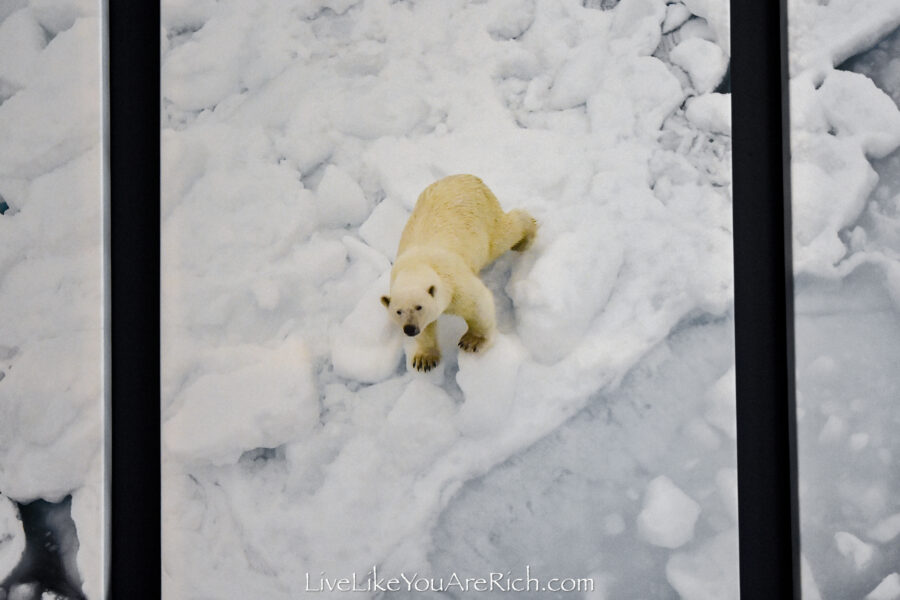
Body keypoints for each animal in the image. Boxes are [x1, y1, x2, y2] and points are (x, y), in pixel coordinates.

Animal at [381, 174, 537, 372]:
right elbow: (428, 329)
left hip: (485, 220)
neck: (416, 266)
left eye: (419, 306)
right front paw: (425, 359)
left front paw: (472, 341)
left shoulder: (455, 282)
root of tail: (467, 177)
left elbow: (478, 304)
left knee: (503, 235)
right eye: (398, 311)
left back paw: (526, 236)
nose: (410, 329)